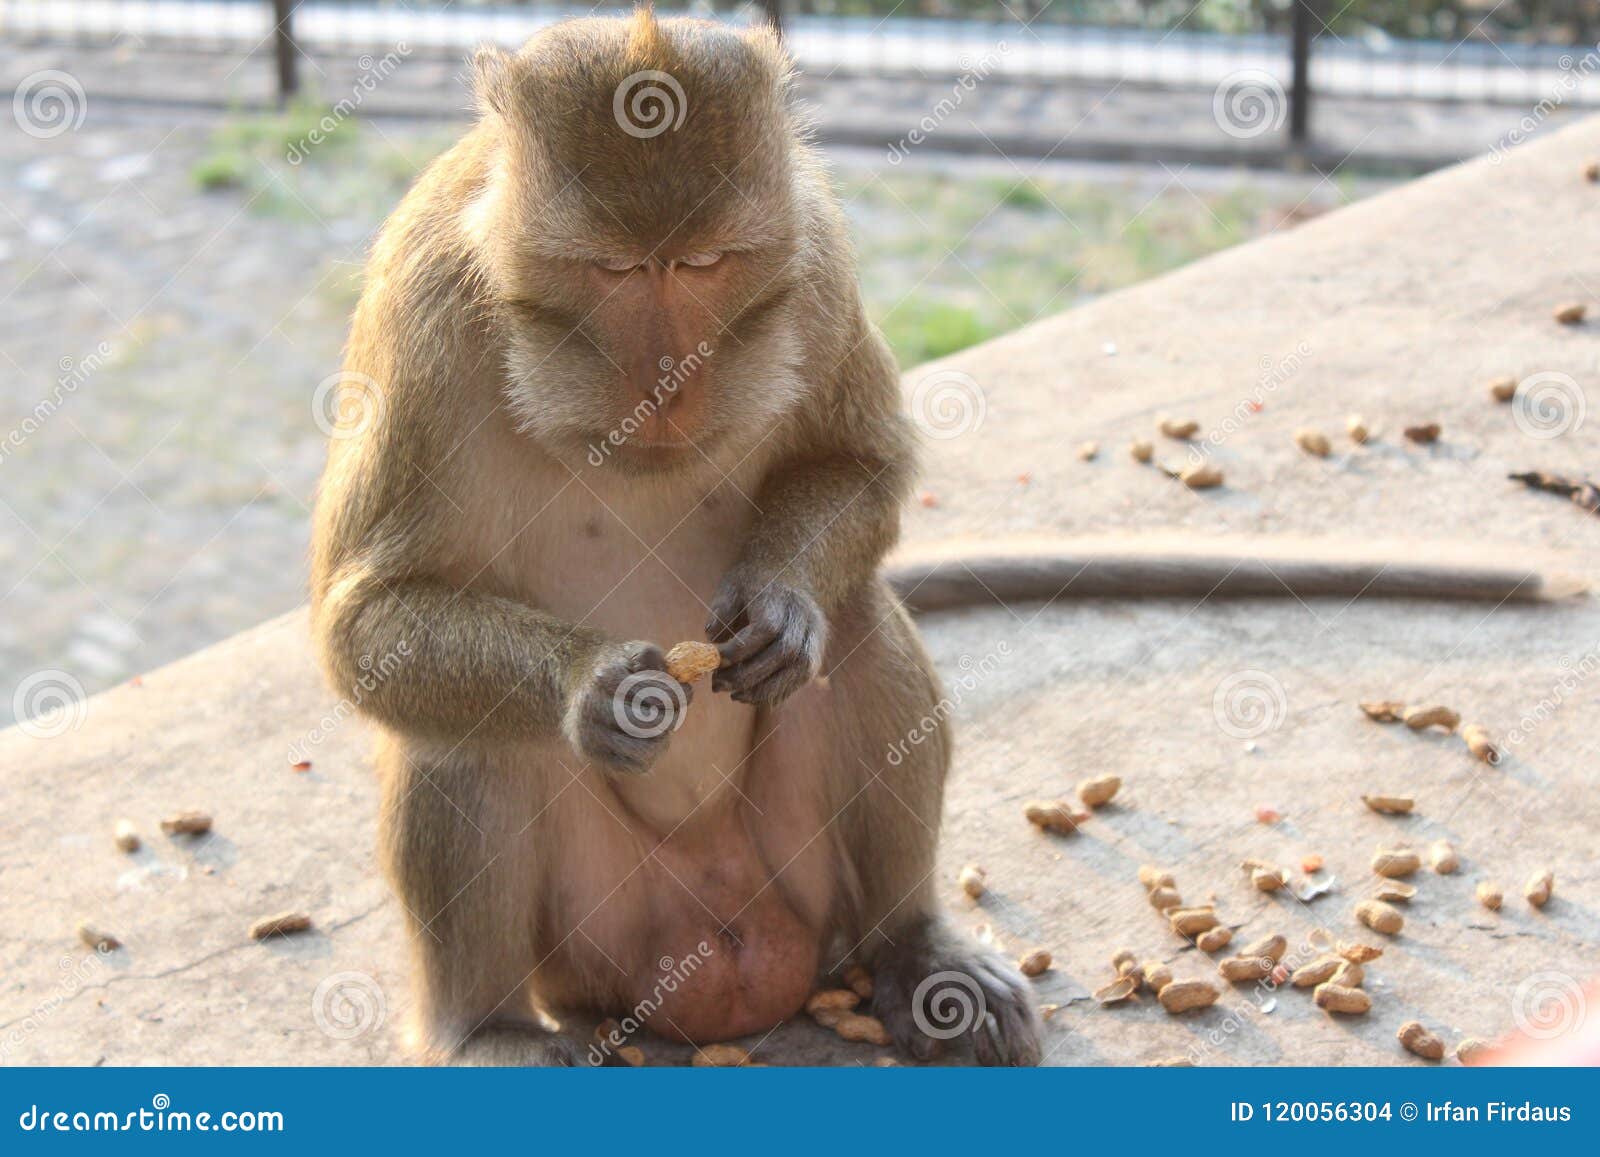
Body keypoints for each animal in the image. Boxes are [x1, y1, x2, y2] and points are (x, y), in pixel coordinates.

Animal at [311, 10, 1575, 1069]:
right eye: (618, 270)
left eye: (704, 262)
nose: (669, 381)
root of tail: (726, 960)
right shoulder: (423, 311)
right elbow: (365, 620)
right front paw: (595, 689)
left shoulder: (814, 251)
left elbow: (858, 472)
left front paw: (779, 604)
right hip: (592, 940)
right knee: (464, 741)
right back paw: (486, 1031)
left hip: (796, 883)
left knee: (864, 627)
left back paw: (913, 949)